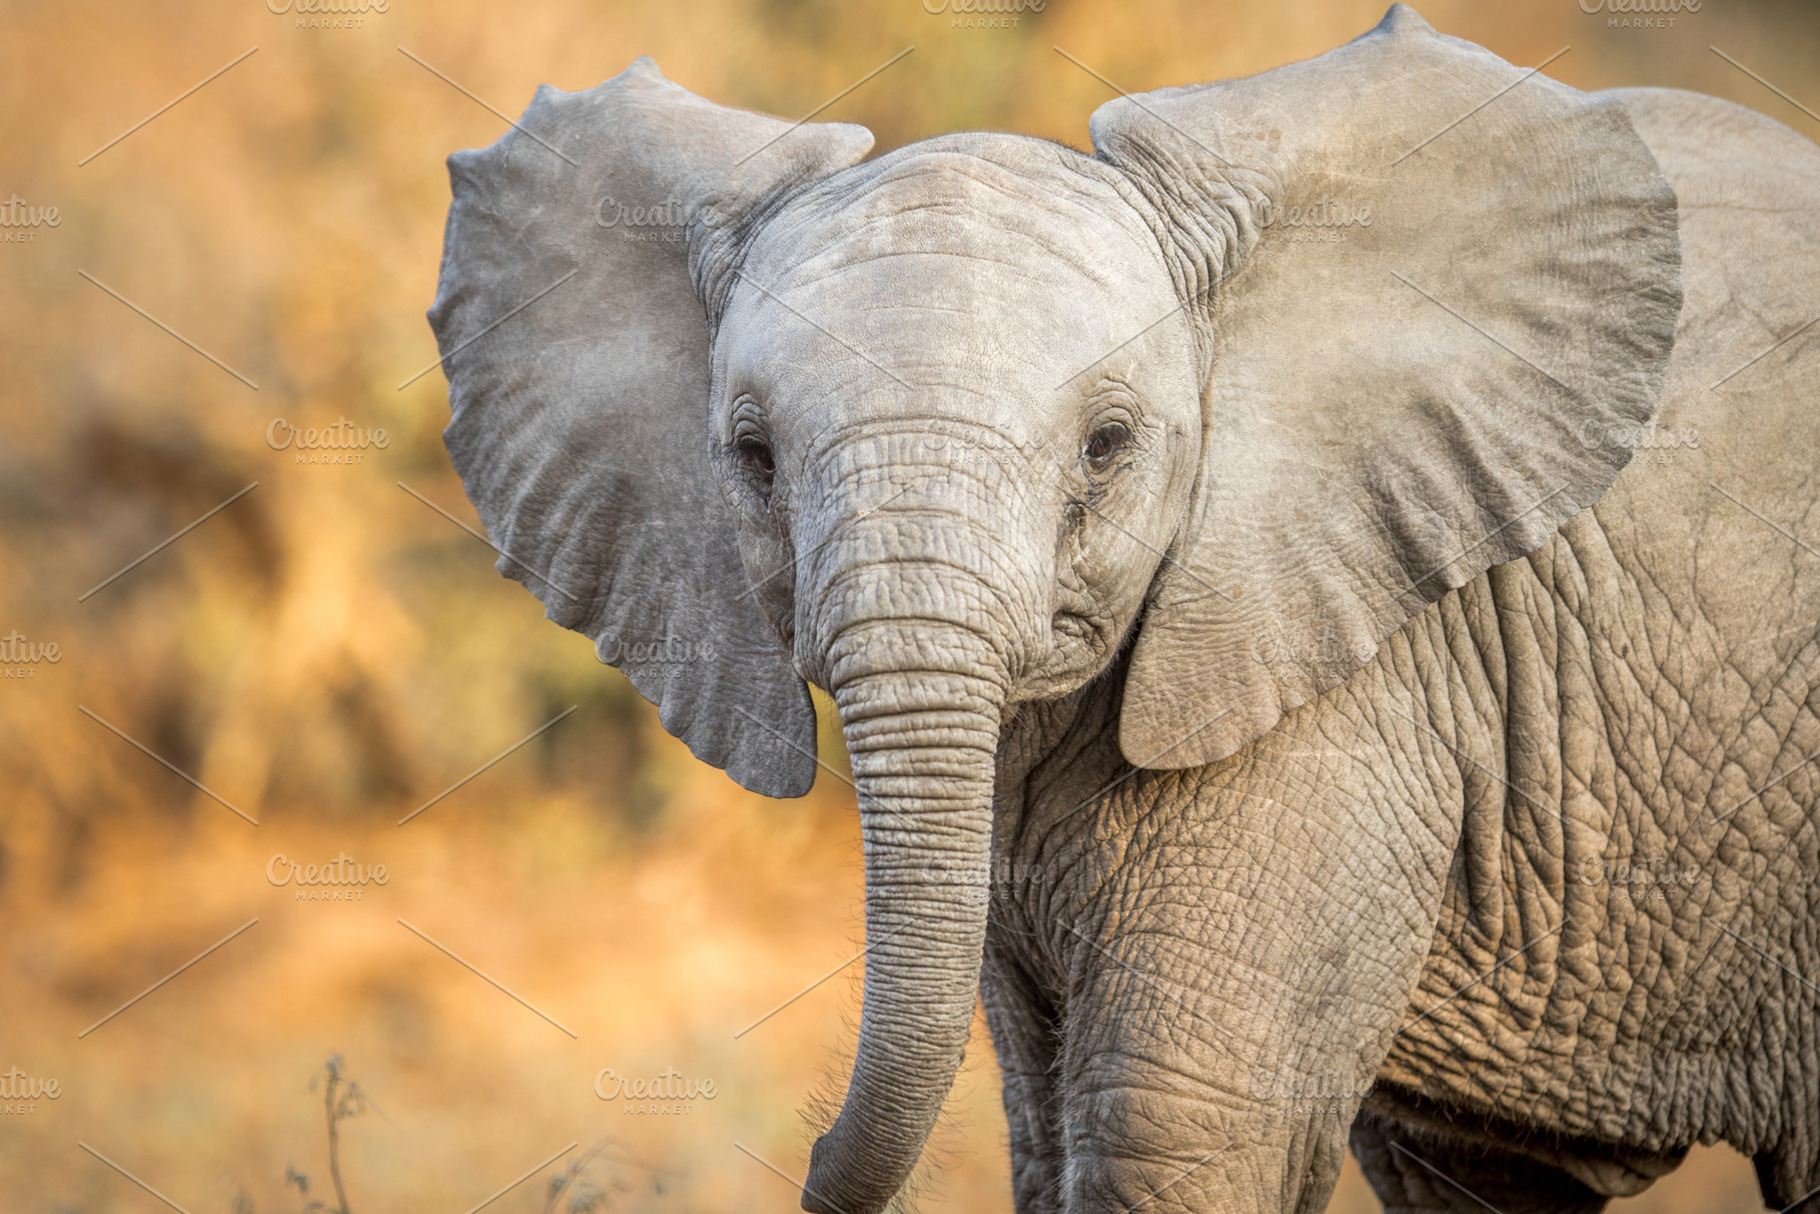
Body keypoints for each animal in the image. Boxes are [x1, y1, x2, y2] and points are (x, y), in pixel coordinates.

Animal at [424, 6, 1820, 1211]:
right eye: (754, 457)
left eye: (1106, 446)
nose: (810, 1157)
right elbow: (1048, 1129)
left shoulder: (1357, 665)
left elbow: (1173, 1128)